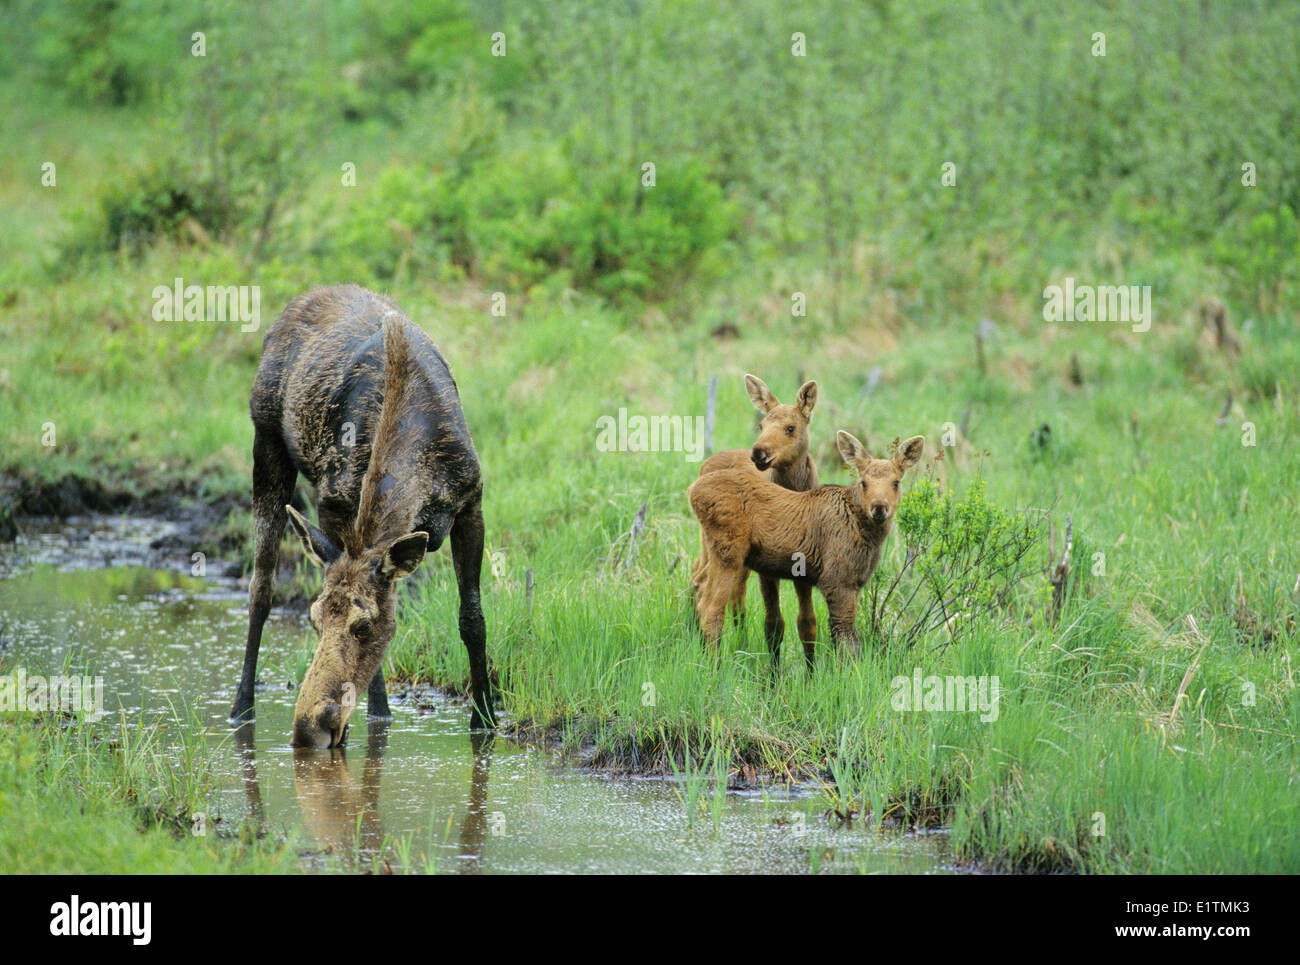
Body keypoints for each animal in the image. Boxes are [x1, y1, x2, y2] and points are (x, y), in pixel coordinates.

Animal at [229, 285, 493, 747]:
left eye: (364, 627)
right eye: (313, 620)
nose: (307, 727)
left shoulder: (470, 502)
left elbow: (472, 619)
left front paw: (485, 718)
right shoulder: (334, 504)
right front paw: (372, 718)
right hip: (266, 444)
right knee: (261, 587)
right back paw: (241, 707)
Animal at [689, 430, 925, 659]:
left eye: (896, 482)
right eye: (864, 482)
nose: (879, 508)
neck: (866, 533)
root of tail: (692, 491)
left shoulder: (851, 584)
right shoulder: (837, 581)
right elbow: (847, 644)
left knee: (699, 590)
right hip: (728, 553)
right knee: (710, 607)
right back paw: (715, 667)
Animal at [690, 375, 821, 669]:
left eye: (790, 428)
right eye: (761, 425)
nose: (759, 452)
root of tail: (704, 467)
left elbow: (807, 623)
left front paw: (812, 672)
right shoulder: (768, 571)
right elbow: (774, 624)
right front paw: (773, 674)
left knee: (713, 584)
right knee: (703, 585)